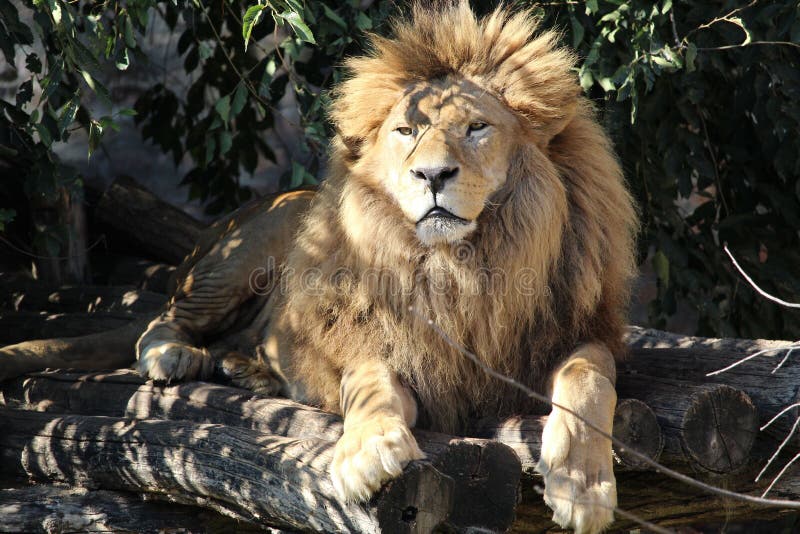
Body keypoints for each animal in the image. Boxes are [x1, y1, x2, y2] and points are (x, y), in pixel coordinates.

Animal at [1, 3, 638, 533]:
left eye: (476, 128)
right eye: (406, 132)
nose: (431, 175)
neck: (462, 266)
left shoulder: (574, 332)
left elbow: (588, 375)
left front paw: (582, 485)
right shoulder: (366, 340)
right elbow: (370, 379)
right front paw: (369, 450)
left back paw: (243, 367)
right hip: (246, 252)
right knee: (162, 318)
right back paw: (175, 354)